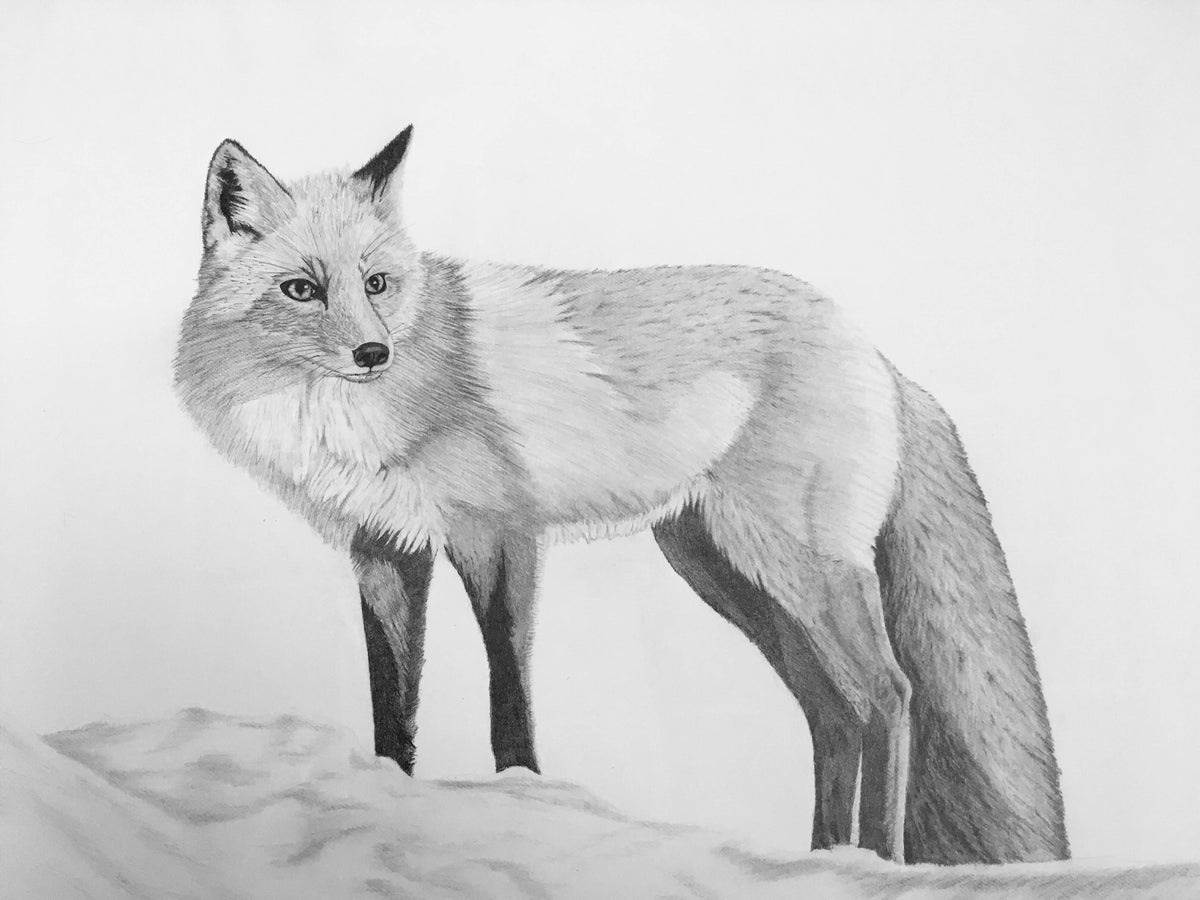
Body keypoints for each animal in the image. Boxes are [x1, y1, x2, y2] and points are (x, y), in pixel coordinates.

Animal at [174, 125, 1068, 865]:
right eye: (300, 289)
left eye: (378, 283)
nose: (372, 353)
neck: (346, 419)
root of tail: (875, 351)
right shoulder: (385, 550)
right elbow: (393, 701)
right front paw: (390, 791)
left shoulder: (501, 534)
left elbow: (508, 690)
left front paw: (523, 795)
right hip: (725, 572)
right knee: (833, 712)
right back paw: (823, 860)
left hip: (794, 565)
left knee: (889, 695)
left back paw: (878, 864)